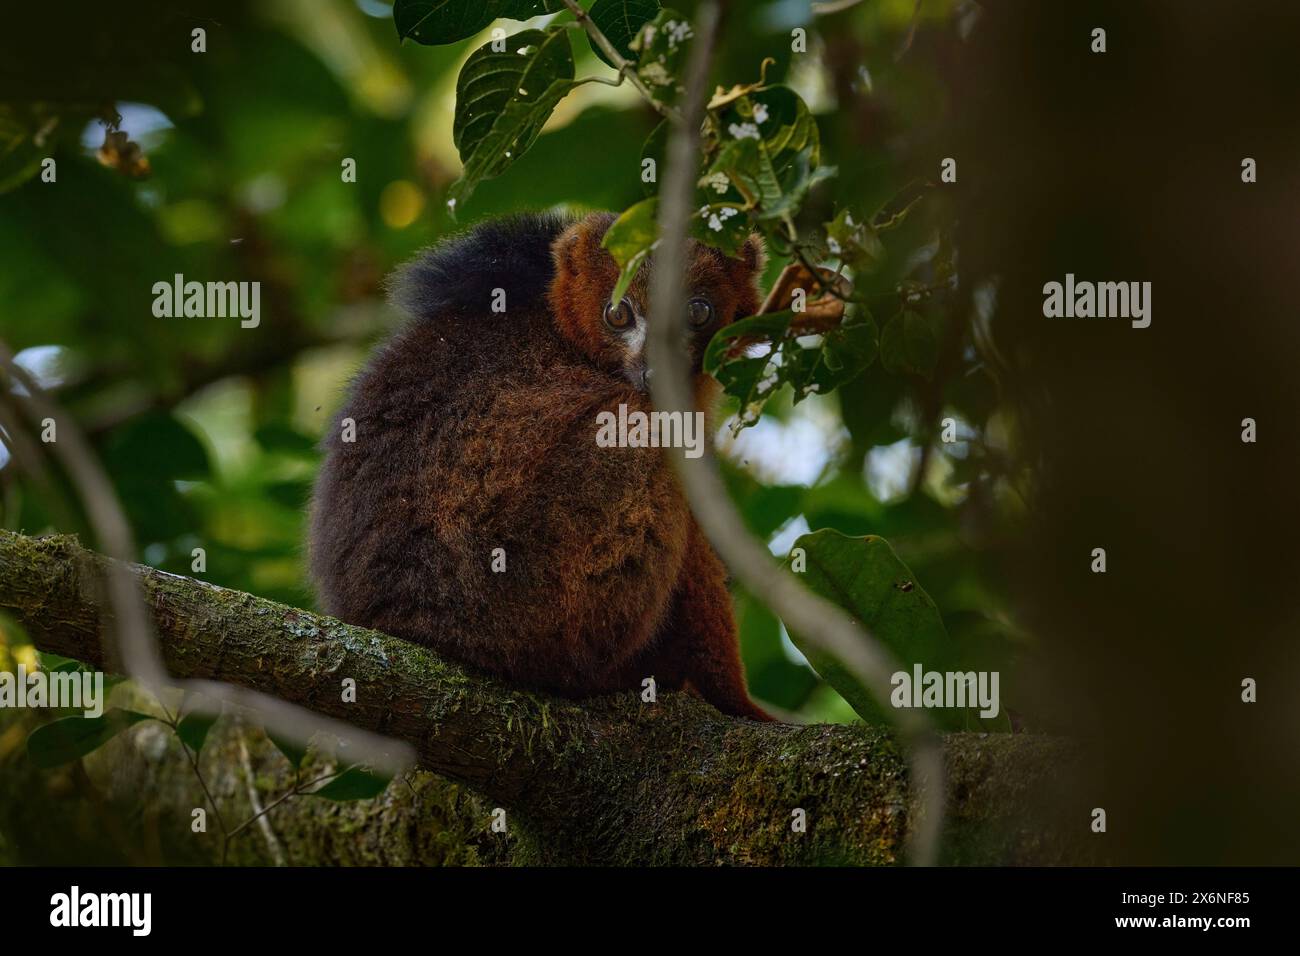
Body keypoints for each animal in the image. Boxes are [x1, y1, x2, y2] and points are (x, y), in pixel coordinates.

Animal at [308, 210, 772, 721]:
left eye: (697, 312)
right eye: (618, 314)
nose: (656, 371)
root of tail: (405, 622)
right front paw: (737, 704)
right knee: (639, 429)